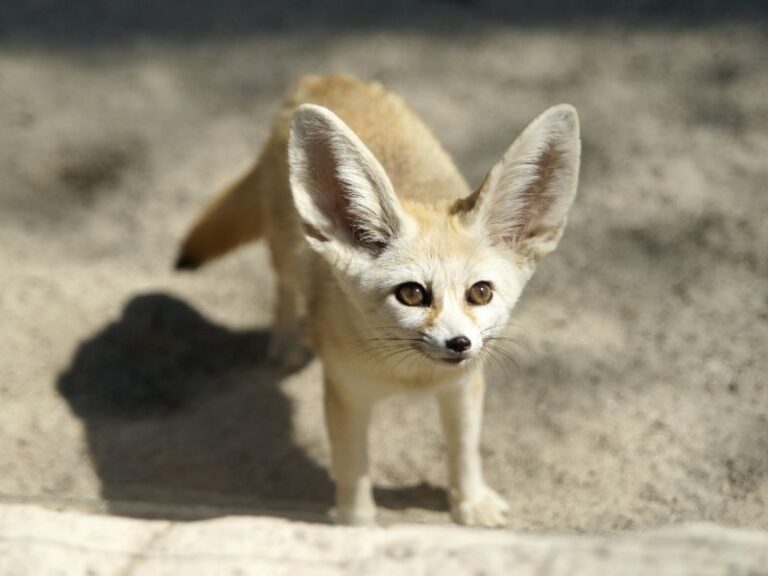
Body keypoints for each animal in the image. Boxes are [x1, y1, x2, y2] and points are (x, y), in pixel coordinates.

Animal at [176, 74, 581, 527]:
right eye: (412, 294)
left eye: (480, 292)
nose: (460, 344)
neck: (412, 379)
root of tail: (324, 77)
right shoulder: (346, 395)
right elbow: (353, 471)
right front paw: (357, 526)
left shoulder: (463, 387)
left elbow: (464, 453)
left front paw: (471, 502)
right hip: (284, 251)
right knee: (284, 289)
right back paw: (286, 342)